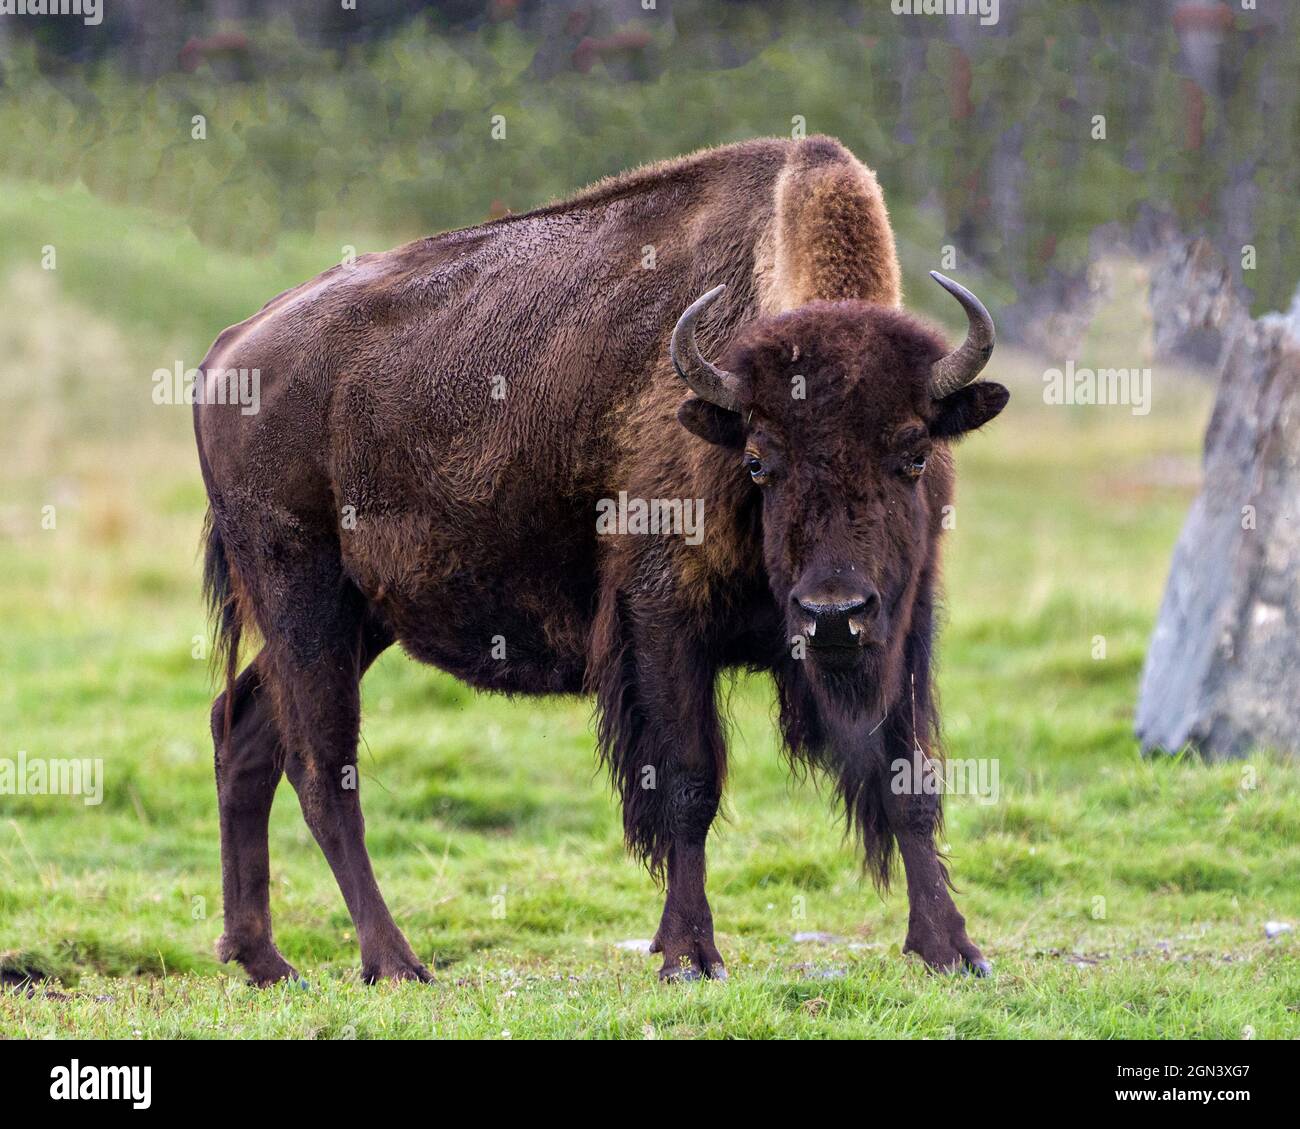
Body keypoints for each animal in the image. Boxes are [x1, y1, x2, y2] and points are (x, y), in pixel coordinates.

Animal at [195, 135, 1007, 985]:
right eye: (759, 461)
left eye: (914, 453)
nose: (833, 612)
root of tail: (228, 353)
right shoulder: (664, 619)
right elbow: (688, 782)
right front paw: (688, 954)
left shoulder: (903, 626)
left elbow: (907, 778)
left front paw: (953, 949)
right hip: (303, 596)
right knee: (323, 769)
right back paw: (393, 961)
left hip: (360, 620)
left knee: (243, 730)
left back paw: (264, 959)